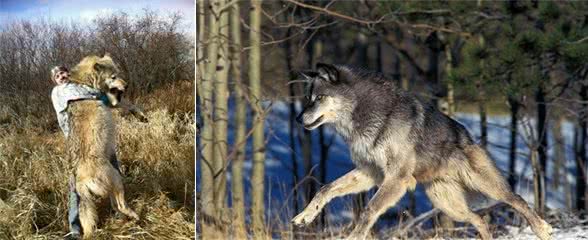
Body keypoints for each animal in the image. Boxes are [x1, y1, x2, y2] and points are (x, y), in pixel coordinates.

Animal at [67, 54, 140, 238]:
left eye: (118, 73)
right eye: (113, 77)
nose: (126, 85)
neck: (85, 82)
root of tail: (81, 182)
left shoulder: (110, 100)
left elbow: (129, 104)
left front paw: (141, 116)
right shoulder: (109, 100)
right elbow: (122, 101)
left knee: (114, 205)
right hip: (117, 178)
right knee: (120, 204)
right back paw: (134, 216)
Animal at [292, 63, 552, 240]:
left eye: (319, 97)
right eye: (307, 98)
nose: (297, 118)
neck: (363, 117)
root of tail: (469, 137)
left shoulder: (396, 179)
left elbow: (369, 210)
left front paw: (354, 236)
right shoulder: (371, 172)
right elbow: (326, 189)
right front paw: (305, 216)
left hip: (487, 187)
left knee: (516, 199)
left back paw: (543, 229)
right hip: (448, 205)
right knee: (479, 219)